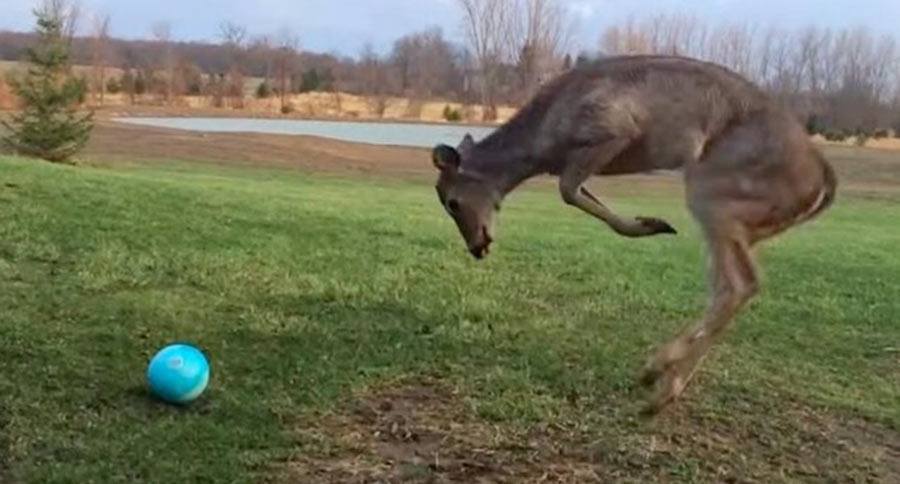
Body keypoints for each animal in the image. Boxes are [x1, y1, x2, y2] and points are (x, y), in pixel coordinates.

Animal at [431, 55, 837, 413]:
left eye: (451, 202)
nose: (477, 246)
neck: (544, 143)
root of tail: (821, 179)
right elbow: (577, 192)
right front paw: (652, 223)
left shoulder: (610, 131)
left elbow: (568, 191)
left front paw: (652, 224)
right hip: (745, 222)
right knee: (730, 285)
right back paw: (661, 385)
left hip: (712, 190)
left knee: (741, 283)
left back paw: (658, 378)